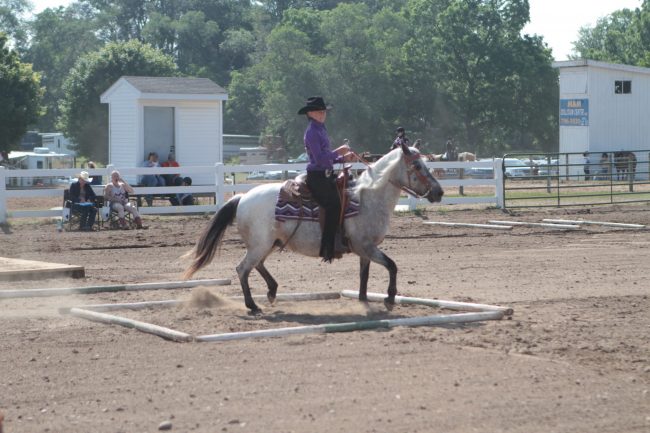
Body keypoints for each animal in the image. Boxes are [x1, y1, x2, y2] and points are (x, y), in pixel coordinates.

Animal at [184, 143, 444, 314]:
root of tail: (242, 198)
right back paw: (253, 305)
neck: (368, 197)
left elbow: (364, 277)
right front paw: (389, 299)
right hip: (260, 245)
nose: (439, 192)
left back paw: (272, 291)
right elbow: (392, 266)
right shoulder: (366, 247)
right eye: (417, 165)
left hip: (267, 244)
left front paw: (363, 302)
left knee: (256, 266)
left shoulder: (365, 251)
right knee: (242, 269)